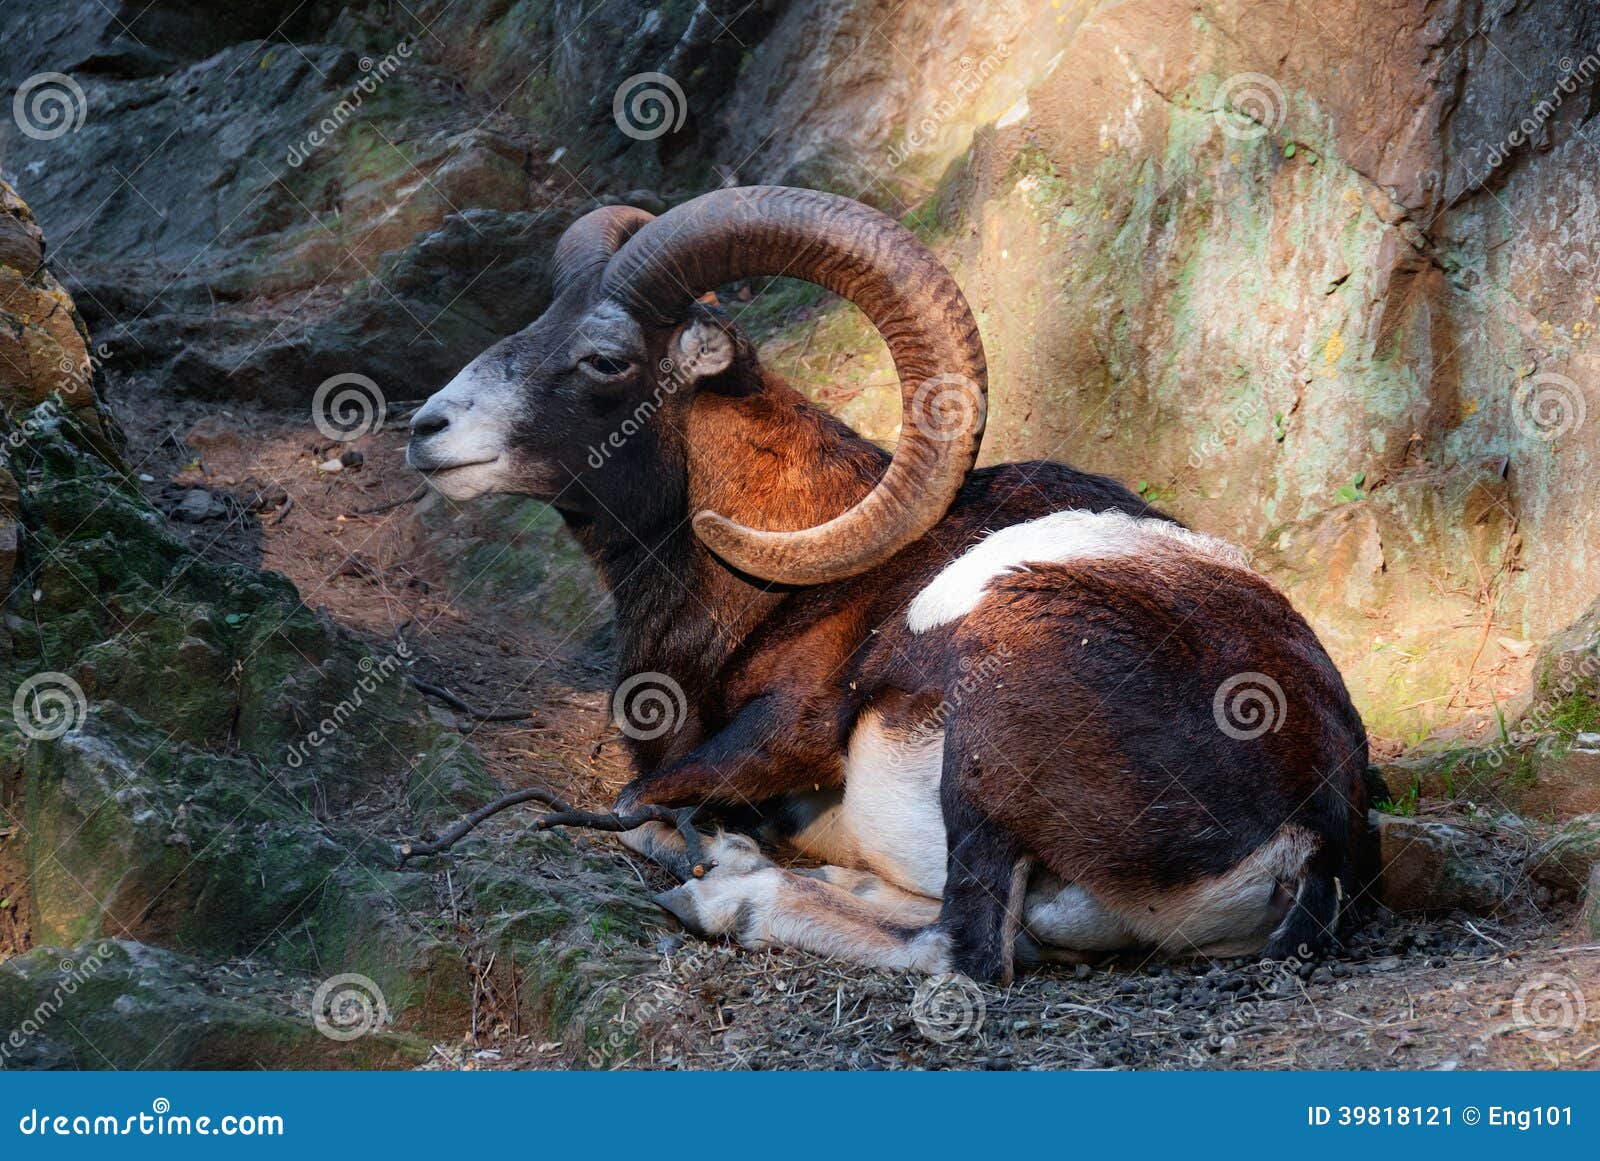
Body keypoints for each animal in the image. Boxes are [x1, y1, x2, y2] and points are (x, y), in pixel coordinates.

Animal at [407, 186, 1375, 982]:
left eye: (605, 359)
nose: (427, 427)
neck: (774, 585)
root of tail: (1312, 836)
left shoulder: (784, 737)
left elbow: (630, 799)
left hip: (989, 734)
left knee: (967, 949)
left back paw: (731, 891)